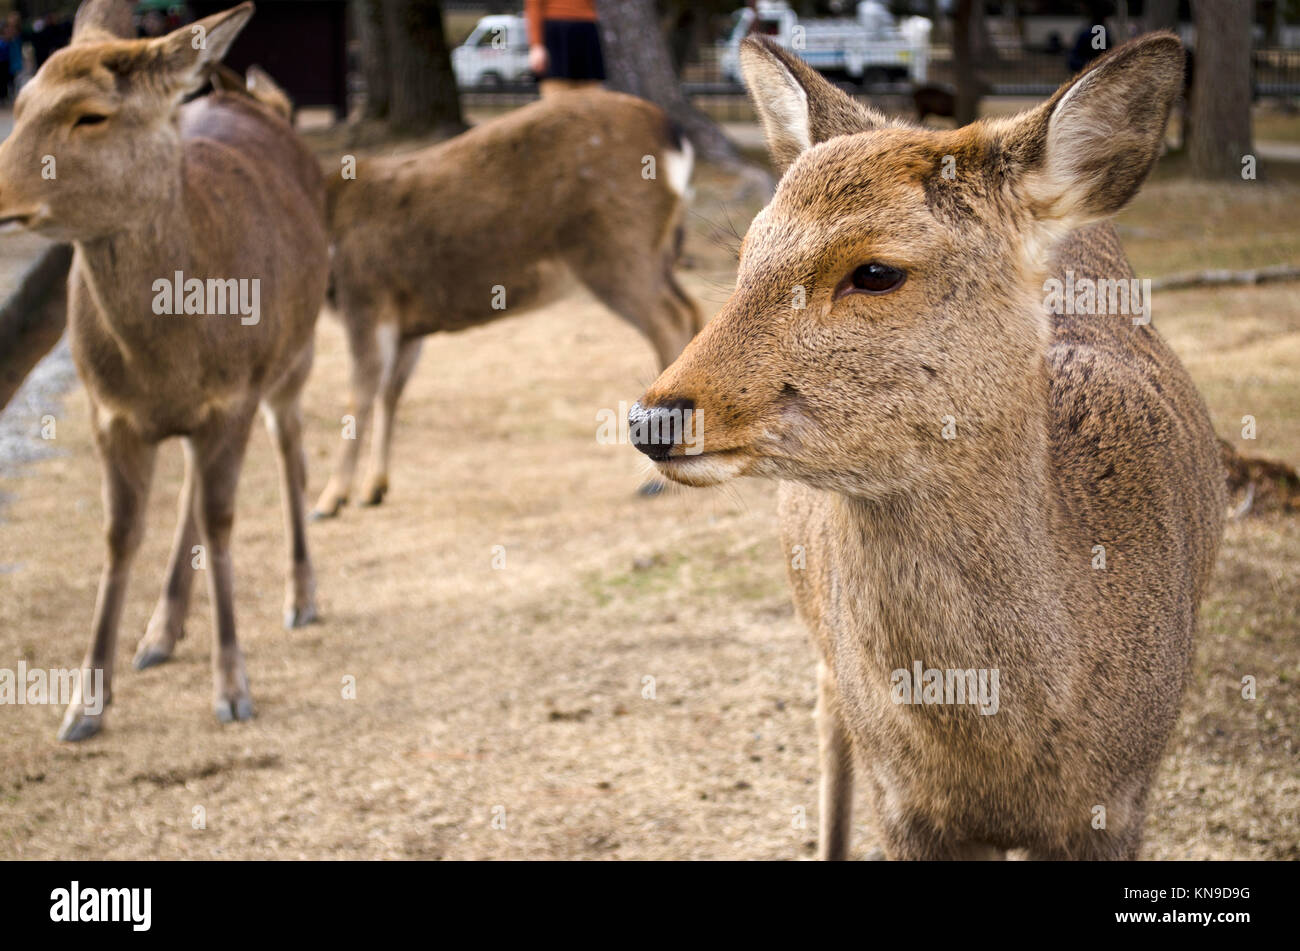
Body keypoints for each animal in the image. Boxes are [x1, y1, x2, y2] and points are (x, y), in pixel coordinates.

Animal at [0, 0, 329, 740]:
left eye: (91, 115)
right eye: (21, 102)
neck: (167, 359)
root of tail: (255, 100)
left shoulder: (234, 397)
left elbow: (223, 519)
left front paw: (233, 690)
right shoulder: (110, 414)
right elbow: (122, 536)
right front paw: (84, 704)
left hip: (293, 358)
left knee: (290, 449)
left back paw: (302, 597)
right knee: (190, 487)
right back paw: (160, 630)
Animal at [310, 89, 701, 518]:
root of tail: (673, 137)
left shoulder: (366, 297)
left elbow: (359, 396)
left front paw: (329, 499)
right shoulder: (408, 324)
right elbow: (389, 394)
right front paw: (373, 489)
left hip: (616, 246)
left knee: (670, 318)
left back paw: (655, 482)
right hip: (654, 250)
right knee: (692, 309)